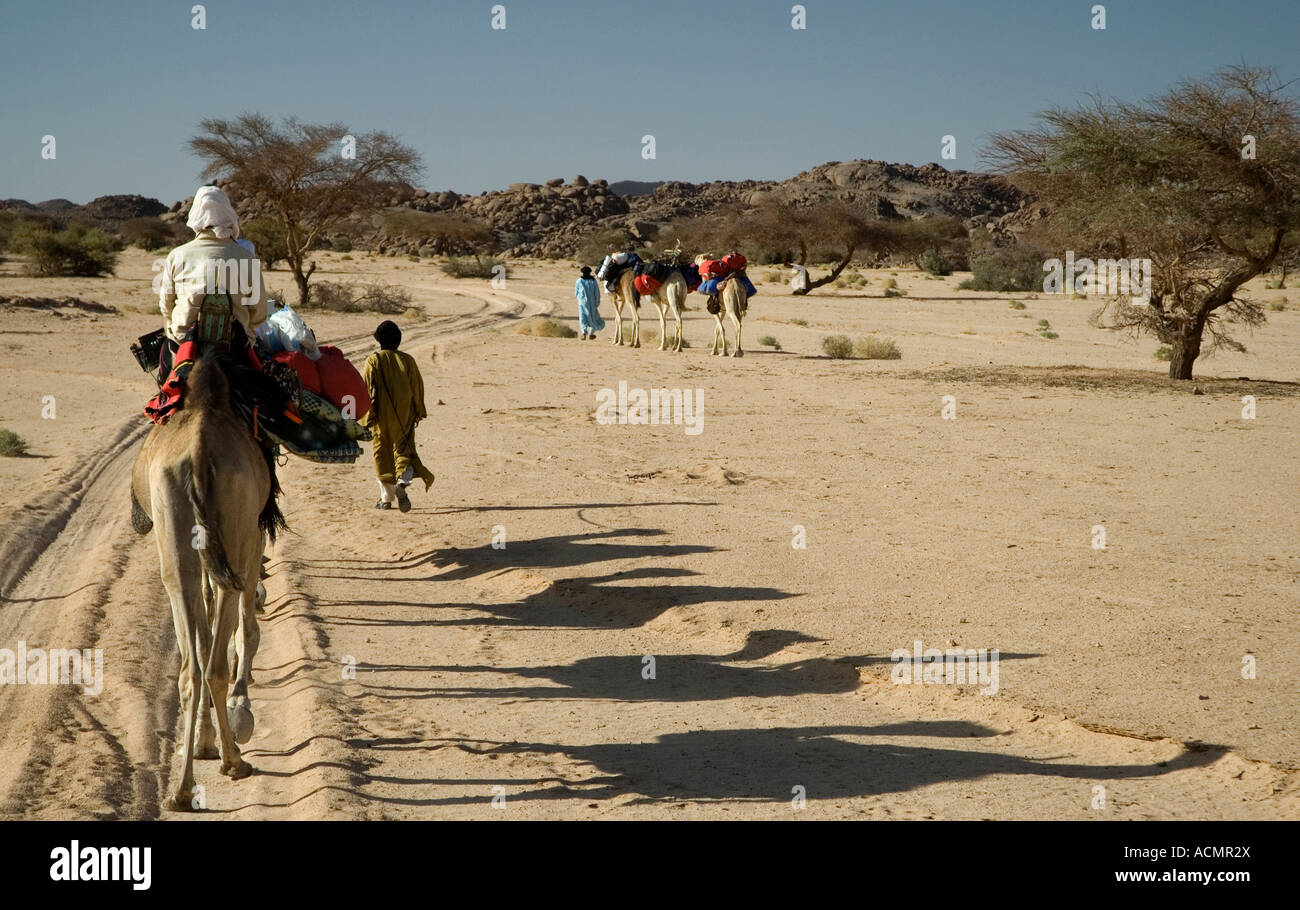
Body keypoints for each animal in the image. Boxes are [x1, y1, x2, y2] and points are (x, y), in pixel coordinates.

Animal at [130, 351, 273, 811]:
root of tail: (197, 449)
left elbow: (206, 630)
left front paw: (203, 740)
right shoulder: (251, 536)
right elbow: (245, 627)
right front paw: (241, 713)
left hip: (175, 528)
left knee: (192, 661)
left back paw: (182, 787)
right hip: (237, 526)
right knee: (216, 653)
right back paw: (233, 761)